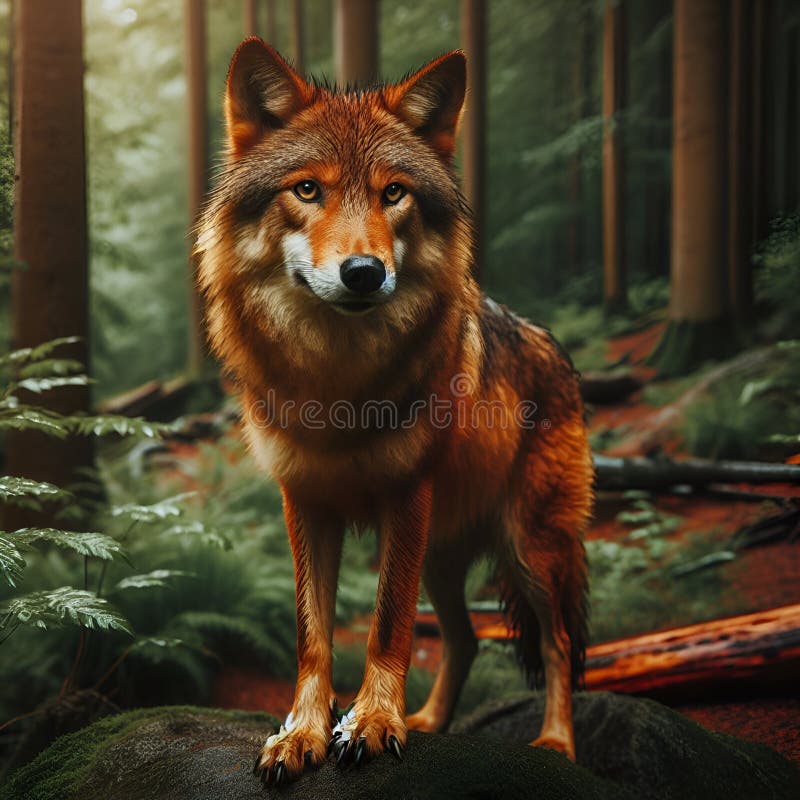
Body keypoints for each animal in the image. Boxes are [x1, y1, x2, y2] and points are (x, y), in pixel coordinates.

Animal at [196, 39, 593, 786]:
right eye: (308, 190)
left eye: (393, 193)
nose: (363, 272)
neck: (338, 386)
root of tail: (556, 349)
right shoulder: (304, 504)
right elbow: (314, 637)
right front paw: (304, 733)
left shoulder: (406, 499)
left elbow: (386, 628)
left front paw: (372, 724)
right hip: (440, 556)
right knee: (464, 640)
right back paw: (430, 722)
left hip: (530, 548)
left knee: (556, 643)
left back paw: (555, 743)